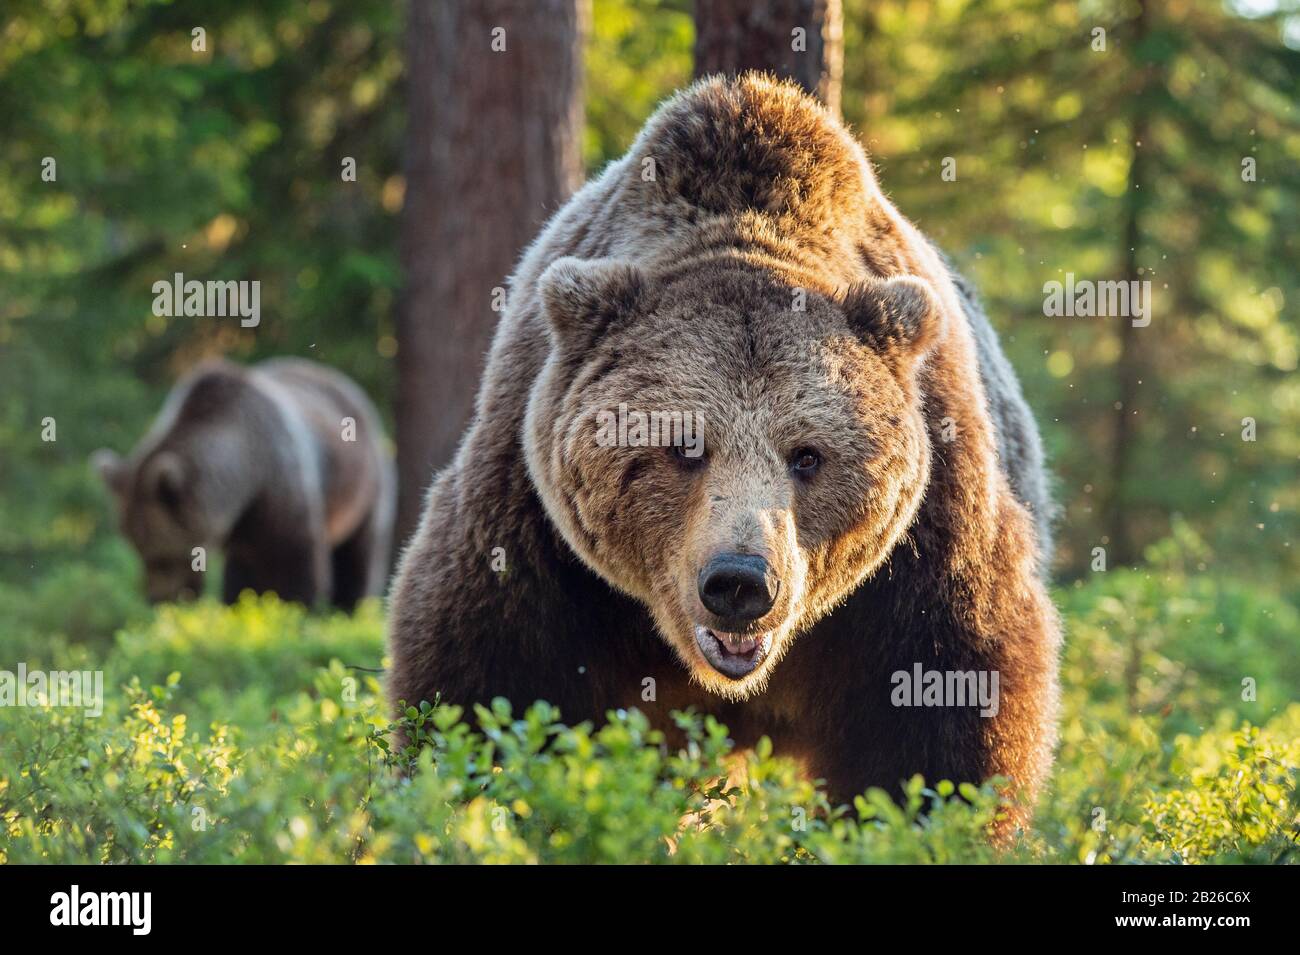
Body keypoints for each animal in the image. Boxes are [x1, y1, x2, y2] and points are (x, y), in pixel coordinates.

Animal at [94, 357, 395, 610]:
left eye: (161, 553)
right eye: (136, 546)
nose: (159, 599)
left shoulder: (281, 489)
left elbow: (297, 562)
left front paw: (296, 609)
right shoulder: (243, 529)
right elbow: (241, 579)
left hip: (363, 485)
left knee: (358, 553)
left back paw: (352, 606)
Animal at [388, 74, 1060, 833]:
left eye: (808, 455)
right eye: (683, 445)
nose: (741, 582)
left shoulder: (922, 553)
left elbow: (939, 728)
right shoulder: (536, 540)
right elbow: (487, 687)